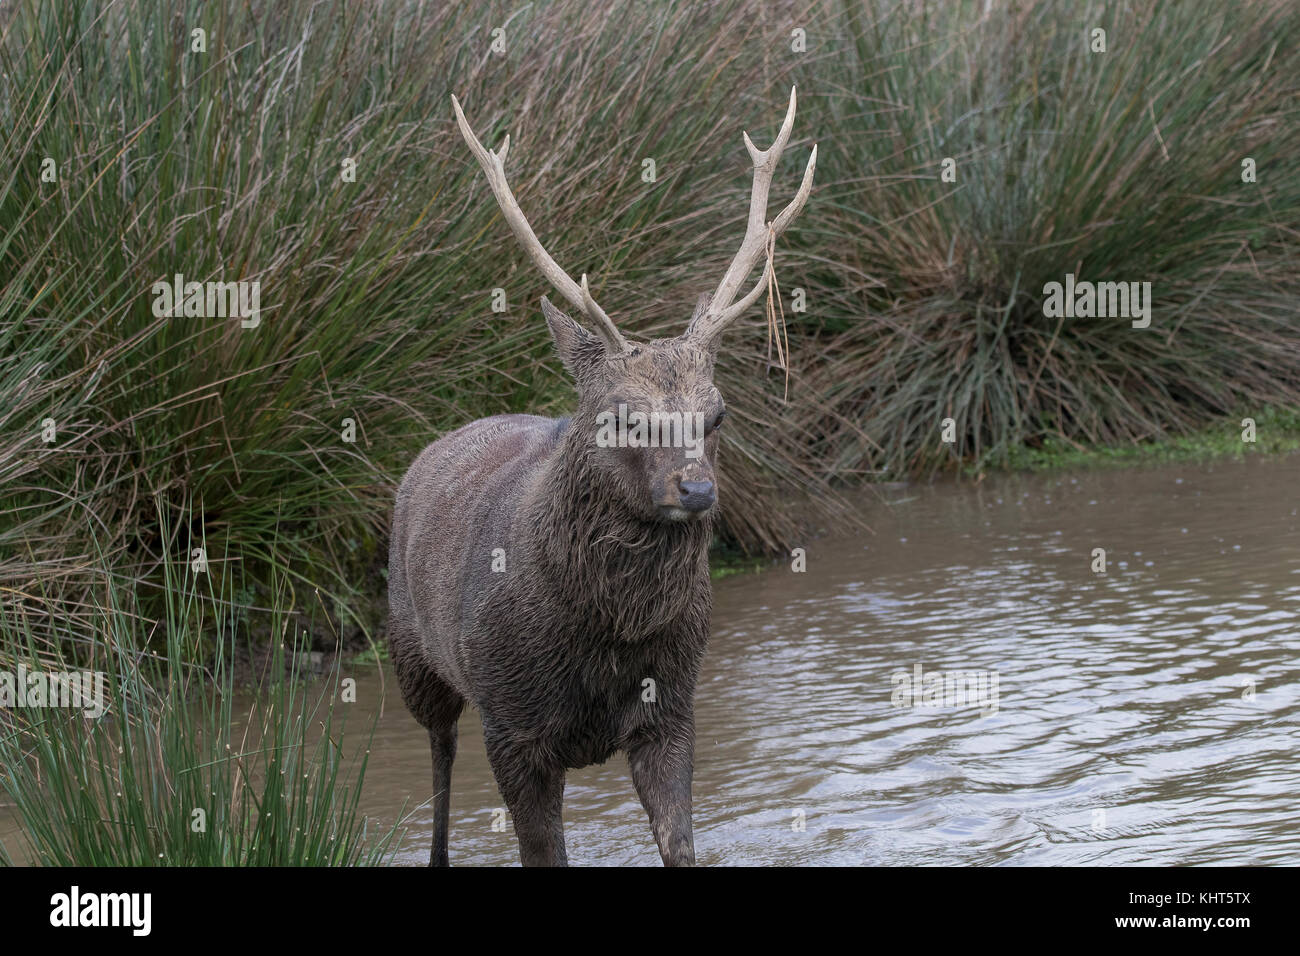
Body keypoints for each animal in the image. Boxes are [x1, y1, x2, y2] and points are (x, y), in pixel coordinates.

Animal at [388, 88, 815, 866]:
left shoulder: (671, 710)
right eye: (622, 415)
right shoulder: (513, 728)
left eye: (717, 411)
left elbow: (681, 846)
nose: (696, 490)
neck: (603, 637)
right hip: (412, 655)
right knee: (438, 762)